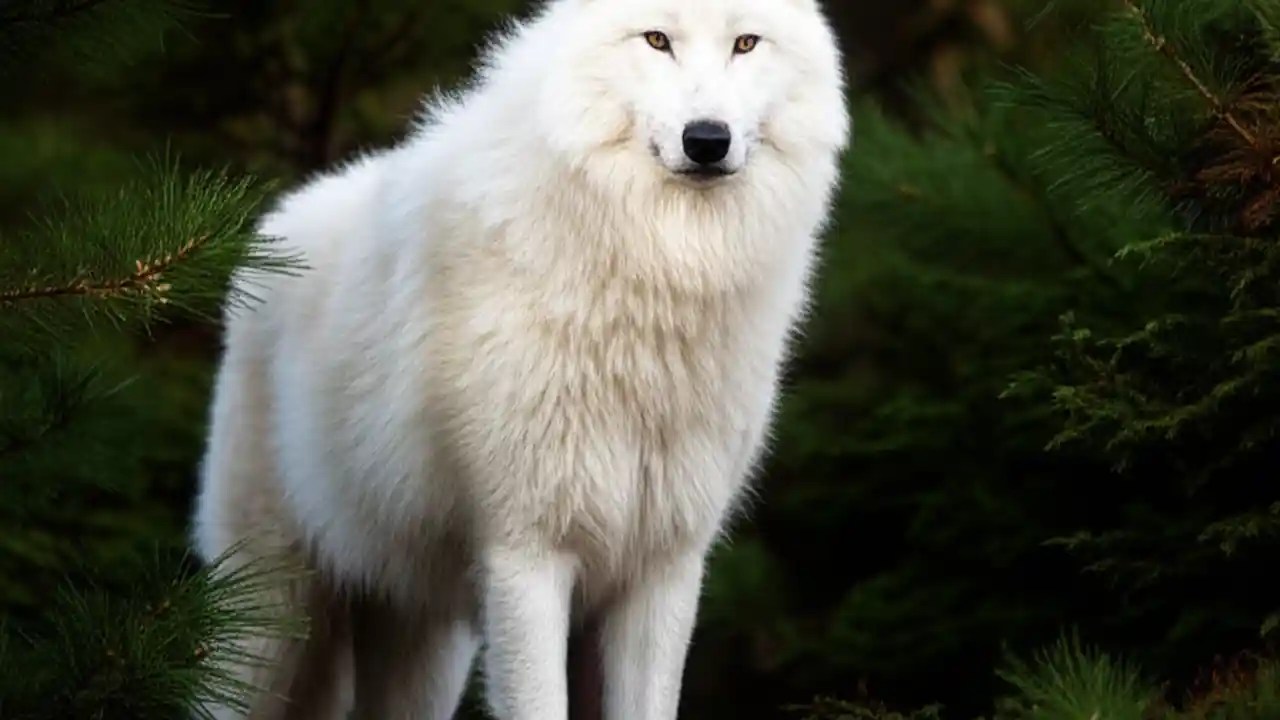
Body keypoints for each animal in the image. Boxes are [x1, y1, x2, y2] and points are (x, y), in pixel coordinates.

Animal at [192, 0, 849, 717]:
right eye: (657, 40)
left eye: (746, 44)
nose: (707, 139)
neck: (655, 281)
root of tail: (275, 222)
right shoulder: (526, 554)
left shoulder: (665, 567)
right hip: (268, 623)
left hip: (425, 645)